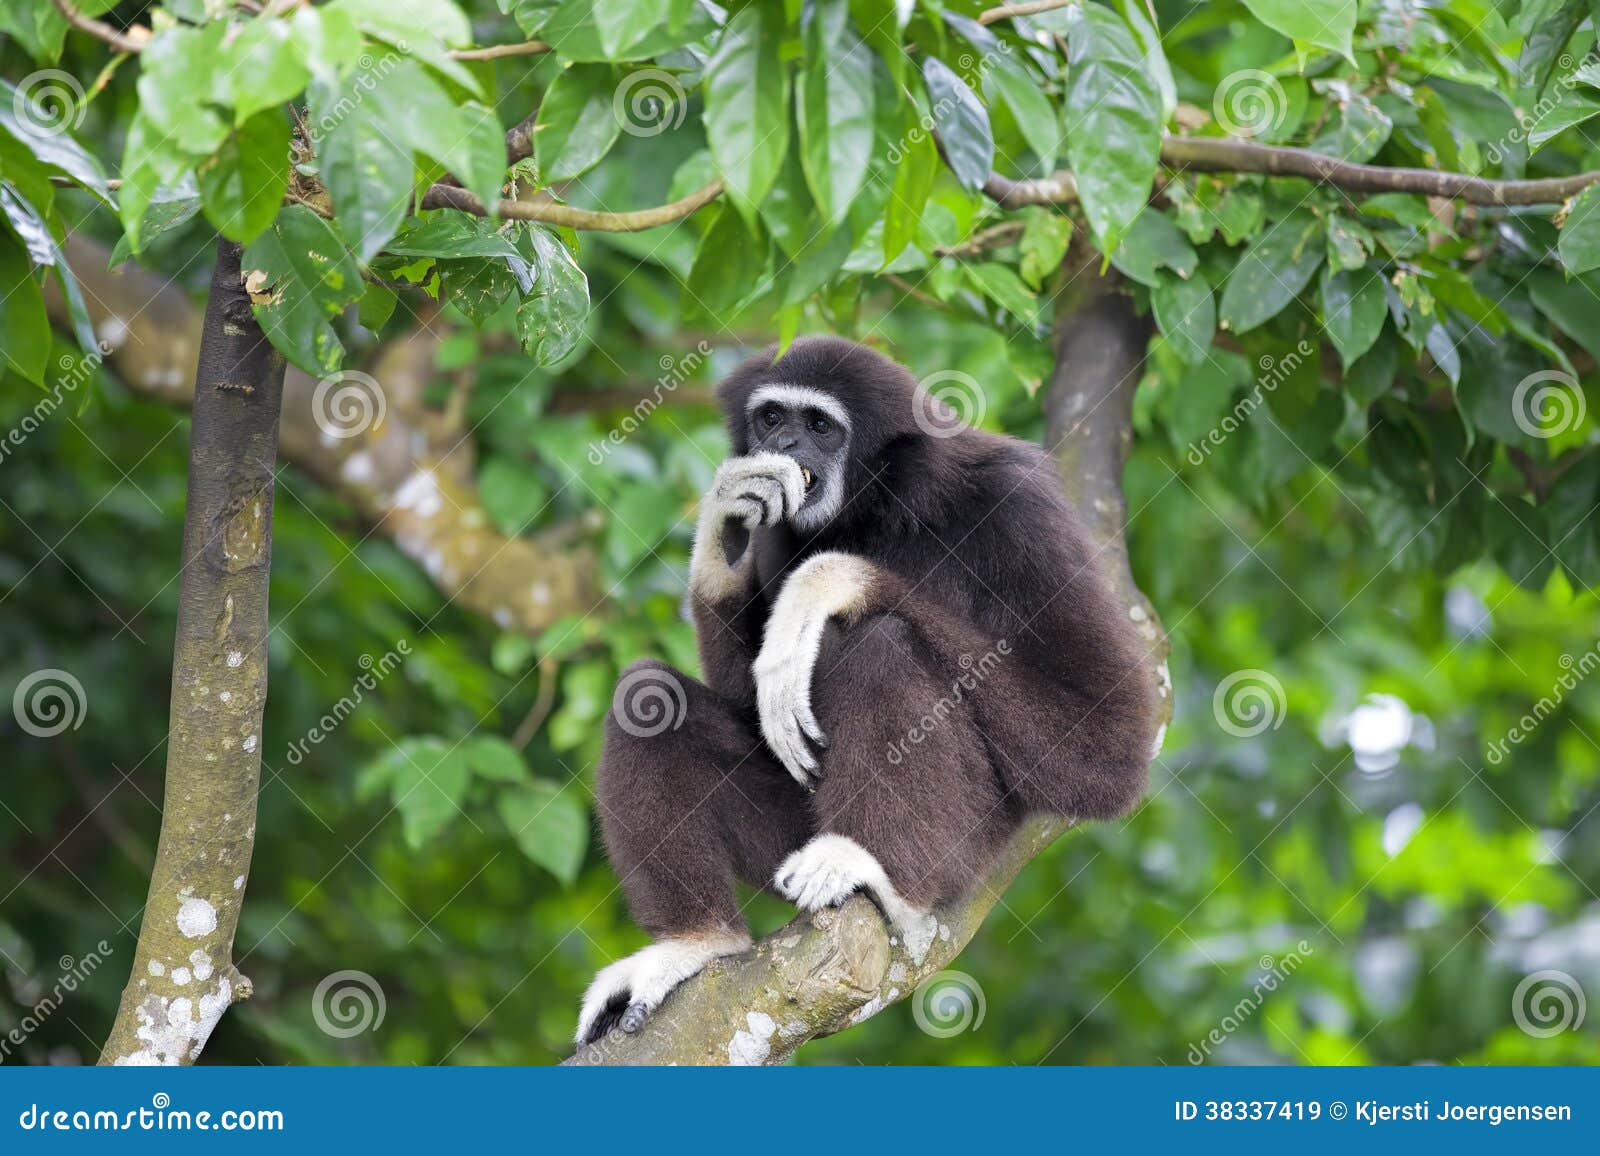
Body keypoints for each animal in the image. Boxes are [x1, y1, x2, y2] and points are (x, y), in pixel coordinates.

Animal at [576, 336, 1158, 1045]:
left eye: (820, 426)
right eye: (772, 419)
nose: (787, 447)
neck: (887, 506)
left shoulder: (1020, 505)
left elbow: (1105, 749)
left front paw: (824, 583)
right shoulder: (779, 526)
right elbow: (747, 695)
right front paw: (723, 530)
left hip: (969, 843)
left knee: (880, 644)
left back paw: (878, 868)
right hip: (792, 827)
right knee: (650, 697)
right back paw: (699, 942)